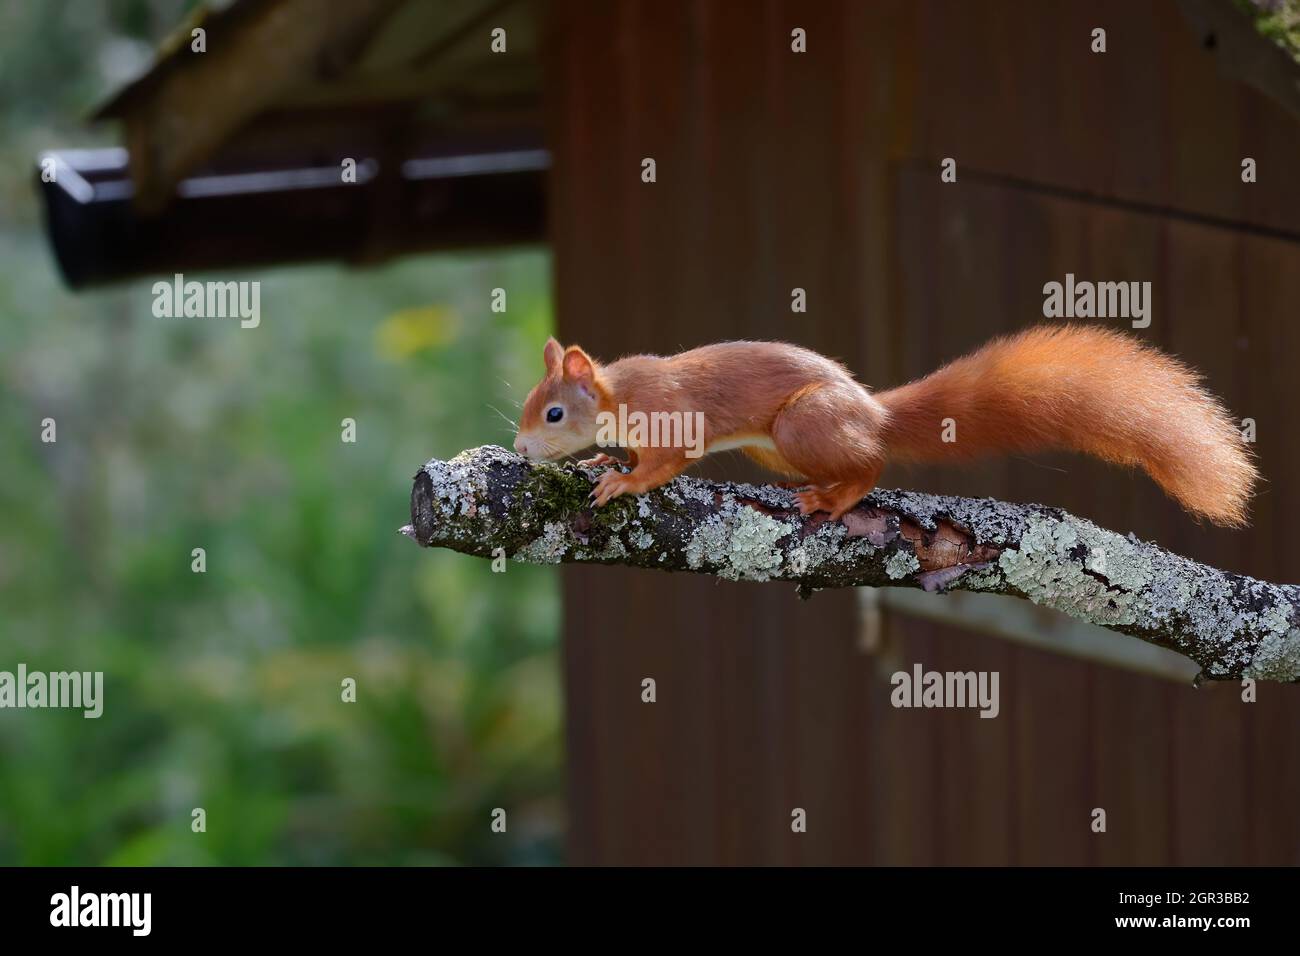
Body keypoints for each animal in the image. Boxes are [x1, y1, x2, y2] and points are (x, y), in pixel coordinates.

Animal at [513, 325, 1258, 527]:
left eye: (554, 412)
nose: (520, 447)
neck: (618, 395)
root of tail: (872, 410)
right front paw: (601, 462)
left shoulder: (671, 419)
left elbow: (666, 465)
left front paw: (624, 482)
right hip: (779, 449)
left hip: (803, 425)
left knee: (871, 466)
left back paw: (835, 497)